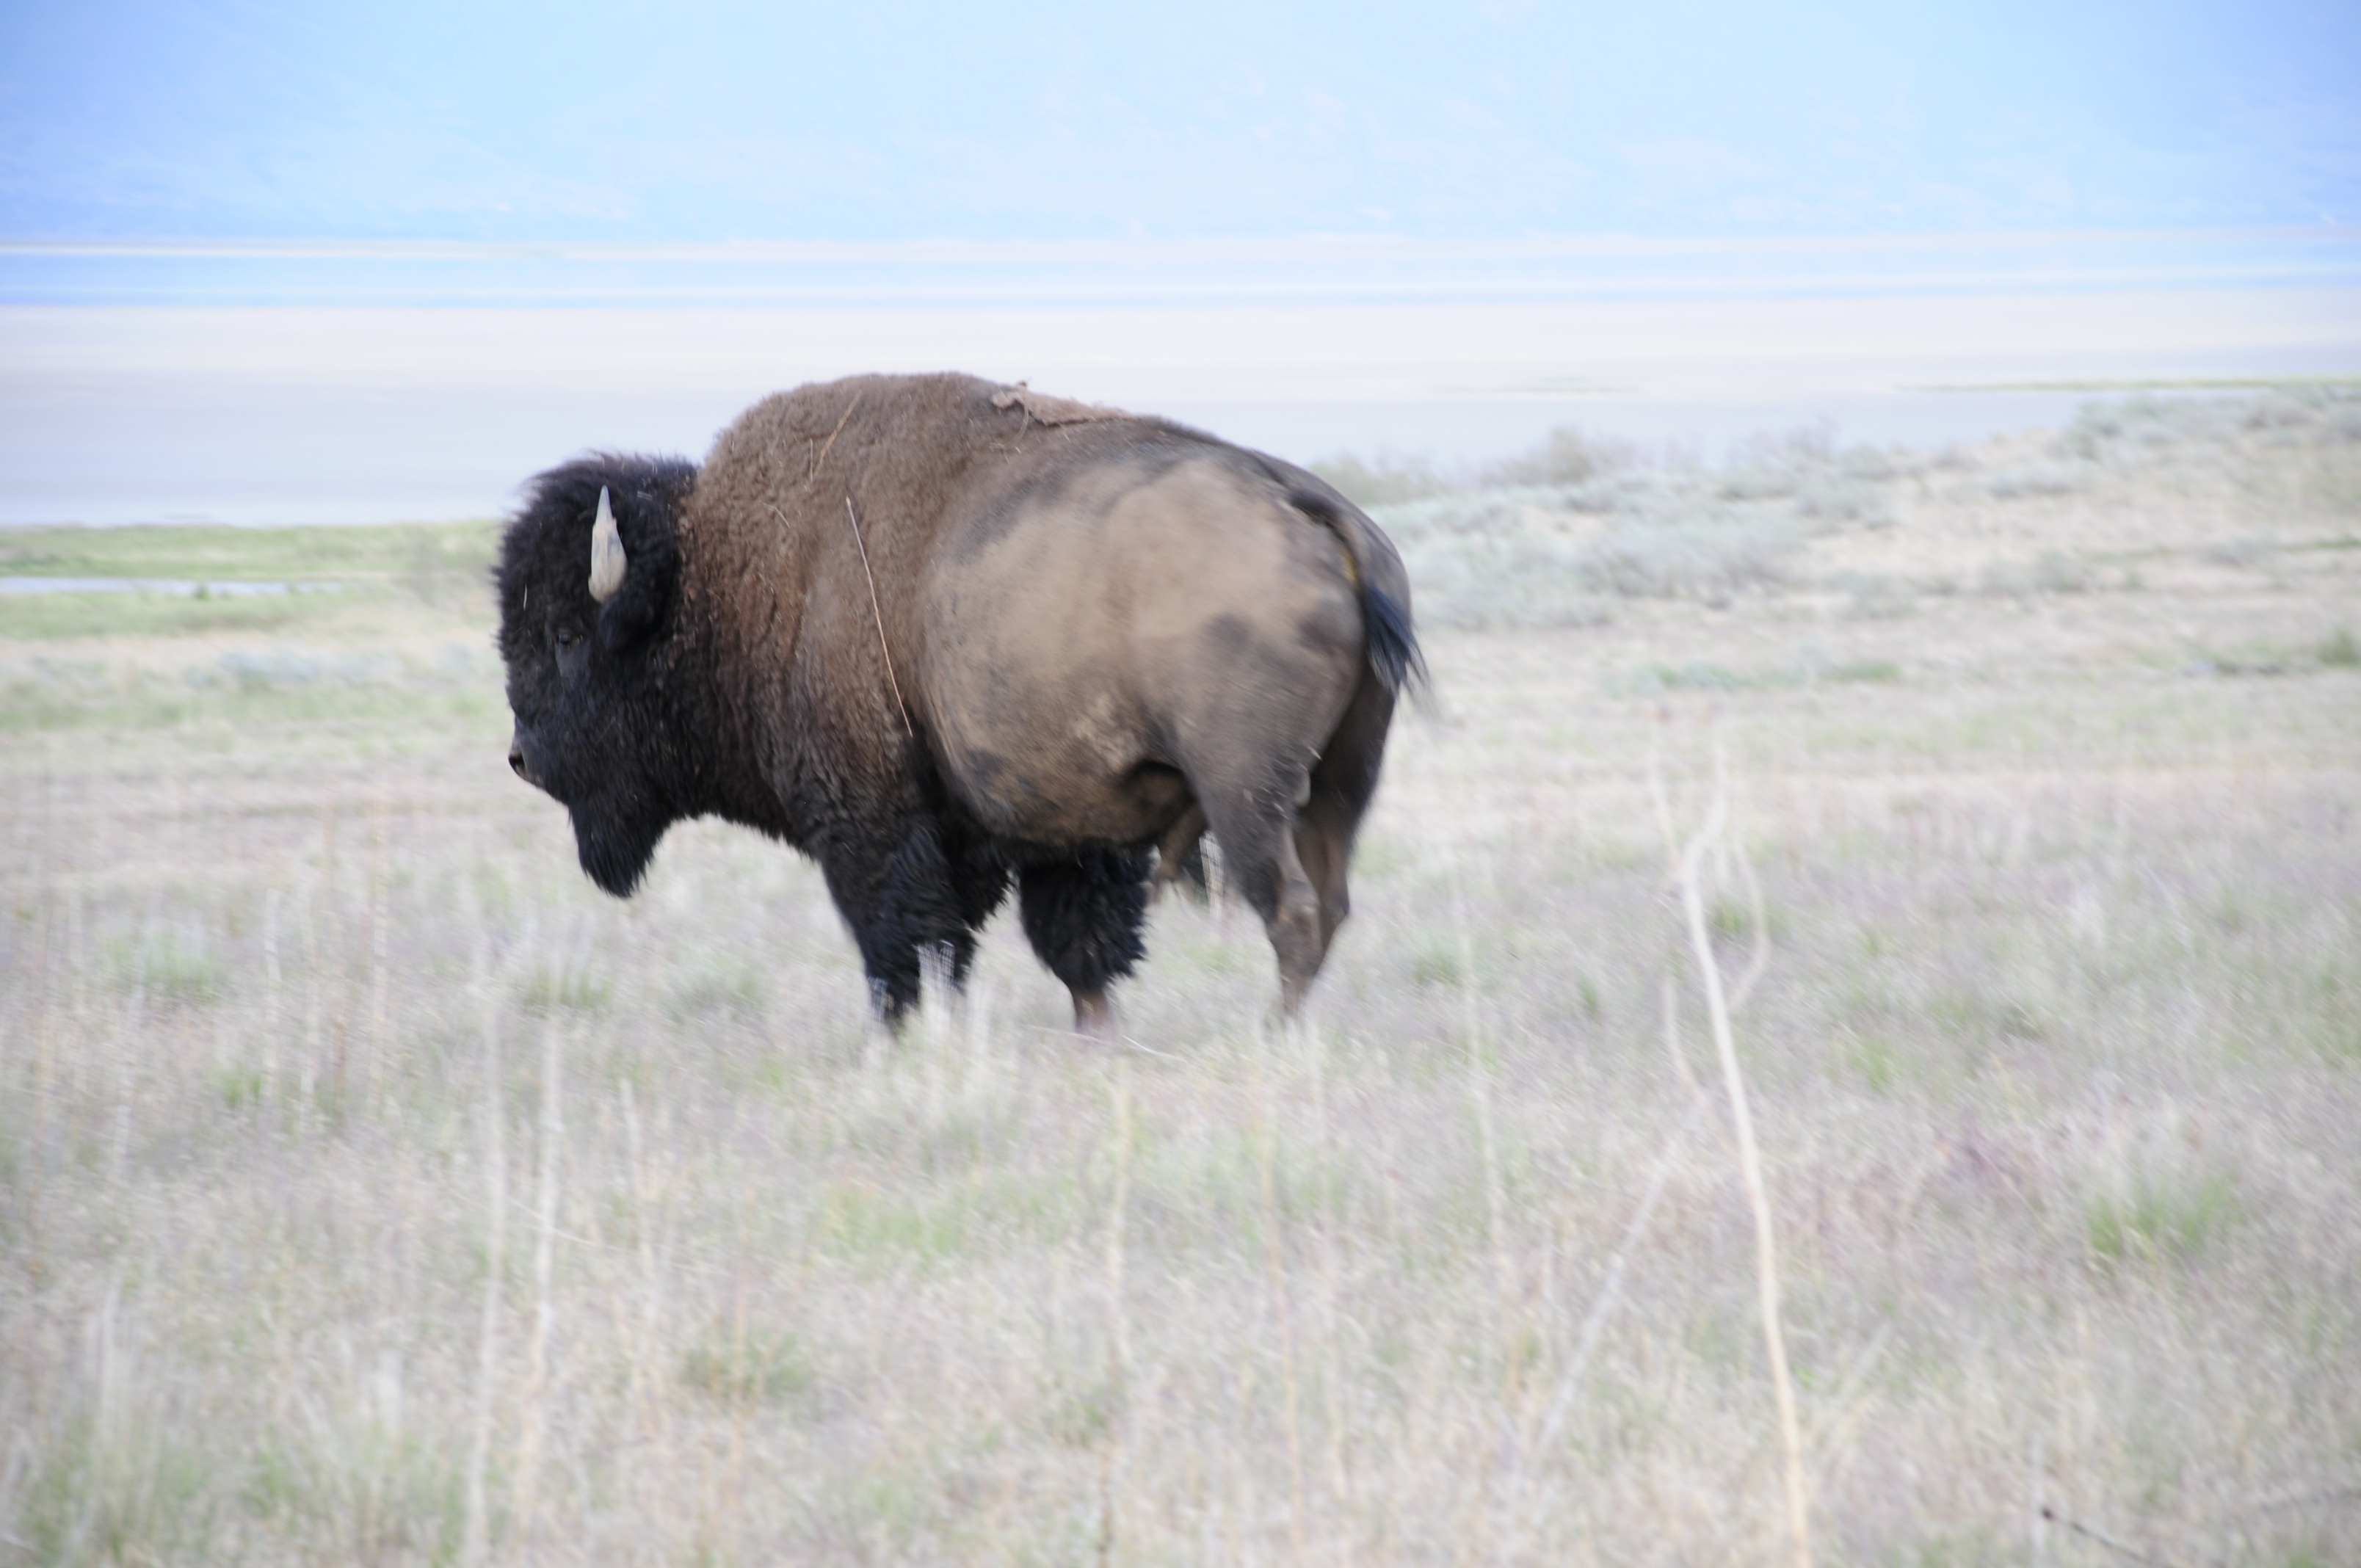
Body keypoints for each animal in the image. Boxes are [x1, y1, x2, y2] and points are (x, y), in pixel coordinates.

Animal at [496, 373, 1421, 1033]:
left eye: (568, 637)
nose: (522, 758)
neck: (724, 578)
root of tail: (1307, 506)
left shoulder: (874, 822)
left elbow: (907, 941)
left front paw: (902, 1036)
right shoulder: (1056, 832)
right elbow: (1067, 943)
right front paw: (1094, 1033)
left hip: (1246, 795)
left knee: (1290, 907)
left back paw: (1277, 1035)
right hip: (1343, 783)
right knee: (1330, 901)